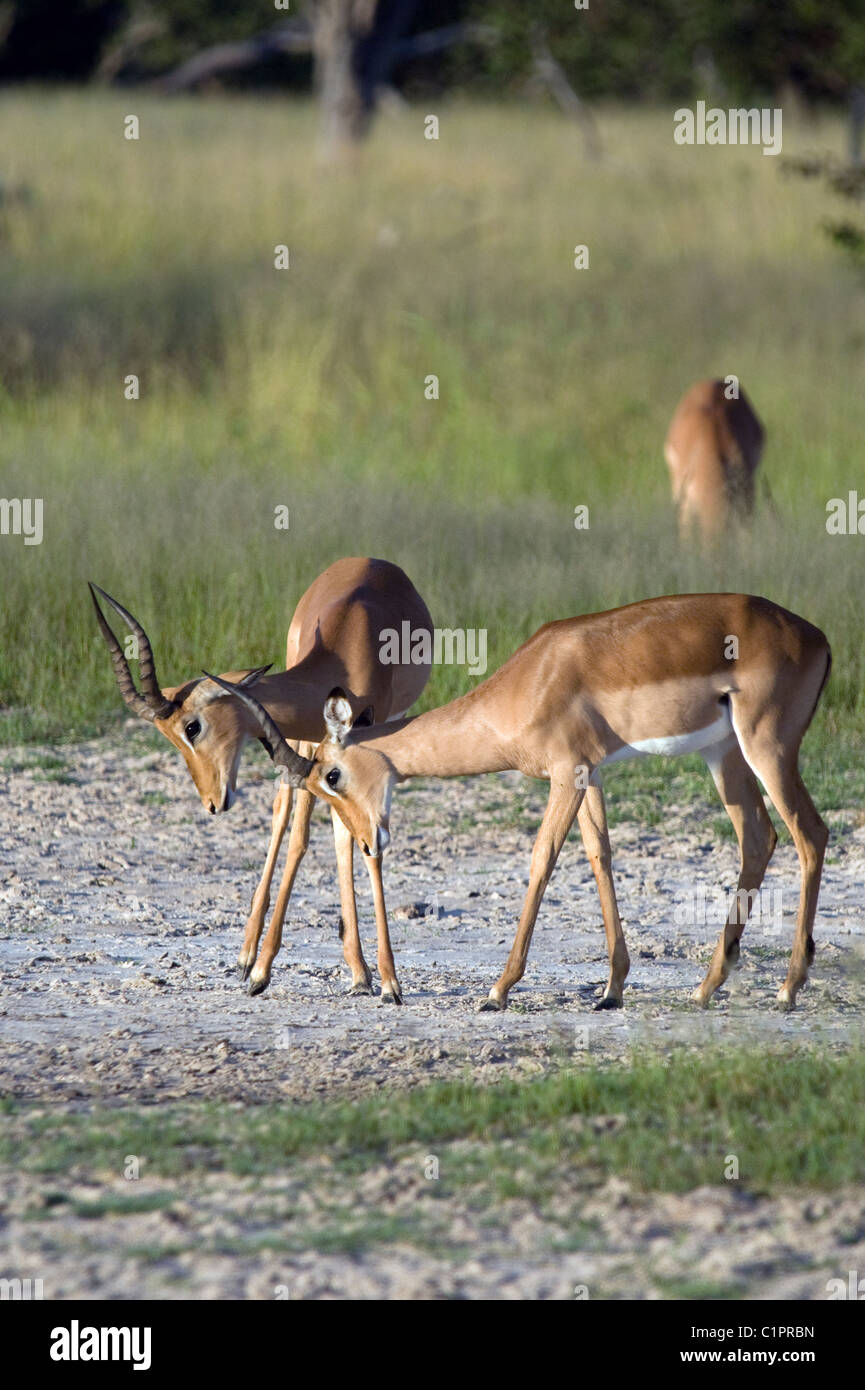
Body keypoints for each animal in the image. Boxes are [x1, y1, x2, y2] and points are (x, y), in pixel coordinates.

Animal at [89, 556, 432, 1000]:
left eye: (192, 728)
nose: (212, 802)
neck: (349, 644)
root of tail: (369, 561)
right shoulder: (313, 745)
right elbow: (299, 837)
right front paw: (259, 970)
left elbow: (365, 844)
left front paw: (389, 980)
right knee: (285, 814)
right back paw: (253, 956)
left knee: (340, 831)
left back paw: (358, 971)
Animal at [213, 593, 831, 1013]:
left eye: (332, 775)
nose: (369, 840)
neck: (531, 679)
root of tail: (817, 637)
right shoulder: (588, 774)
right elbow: (600, 858)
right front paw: (611, 989)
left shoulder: (564, 774)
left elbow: (541, 861)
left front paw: (498, 989)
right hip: (724, 755)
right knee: (760, 838)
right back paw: (705, 989)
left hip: (767, 747)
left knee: (810, 833)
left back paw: (787, 988)